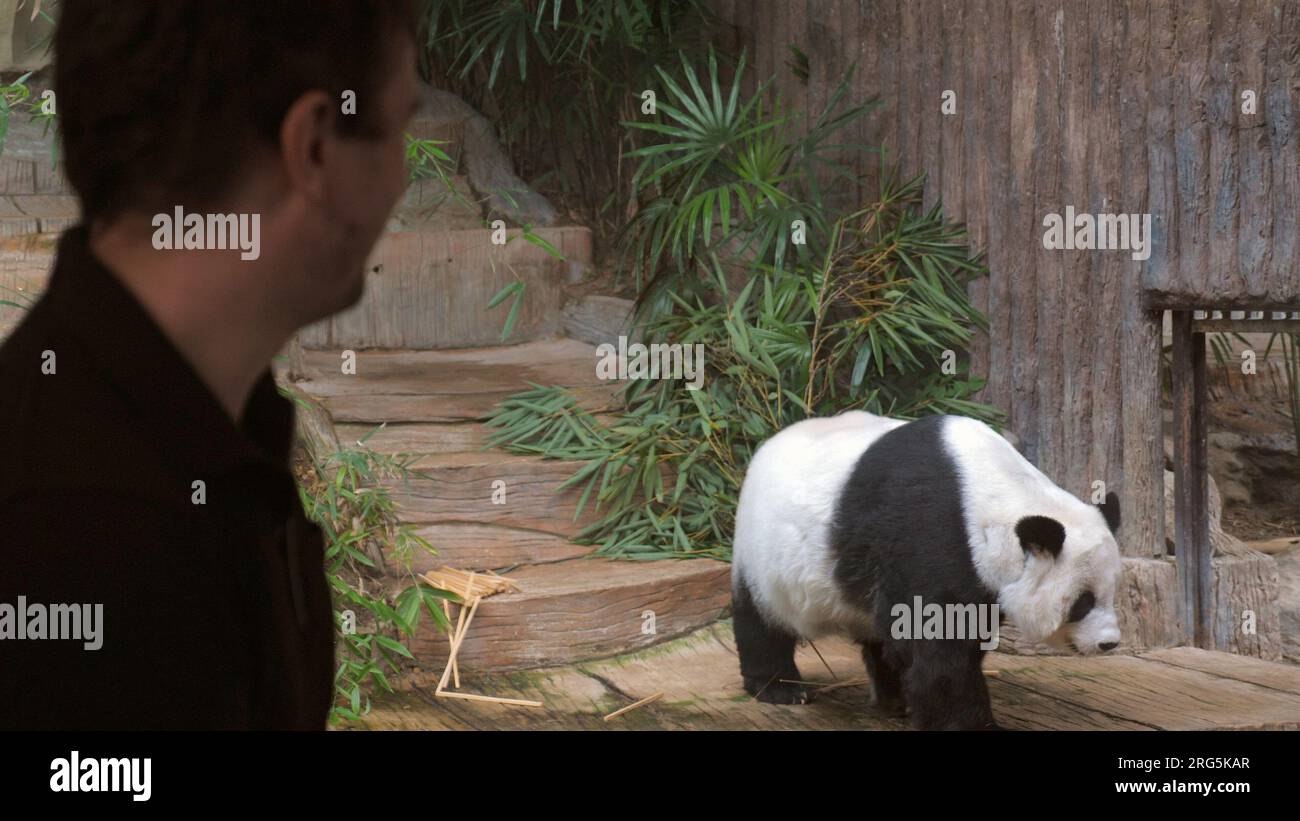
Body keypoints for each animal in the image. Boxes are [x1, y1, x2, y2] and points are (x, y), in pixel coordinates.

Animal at [730, 410, 1123, 730]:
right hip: (764, 551)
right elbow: (939, 648)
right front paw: (971, 724)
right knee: (761, 619)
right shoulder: (933, 537)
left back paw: (893, 699)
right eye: (1083, 602)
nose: (1108, 643)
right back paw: (780, 689)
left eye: (1110, 594)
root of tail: (766, 446)